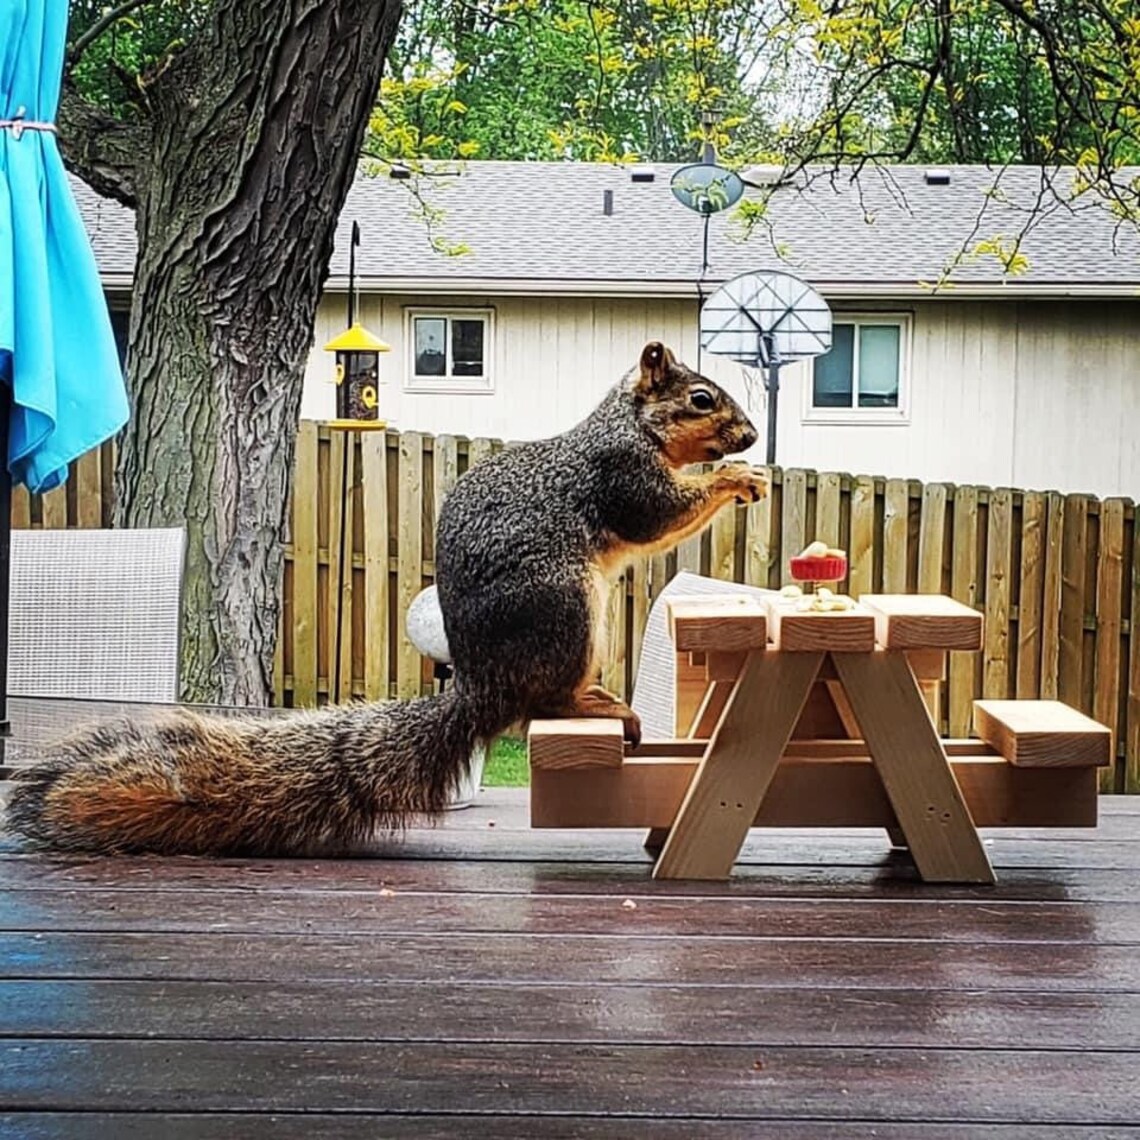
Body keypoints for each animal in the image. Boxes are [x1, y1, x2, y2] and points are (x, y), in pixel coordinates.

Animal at [6, 341, 765, 857]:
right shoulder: (620, 476)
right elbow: (659, 514)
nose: (753, 435)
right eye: (701, 398)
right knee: (542, 704)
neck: (632, 428)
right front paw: (737, 479)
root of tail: (482, 688)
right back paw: (592, 704)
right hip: (567, 612)